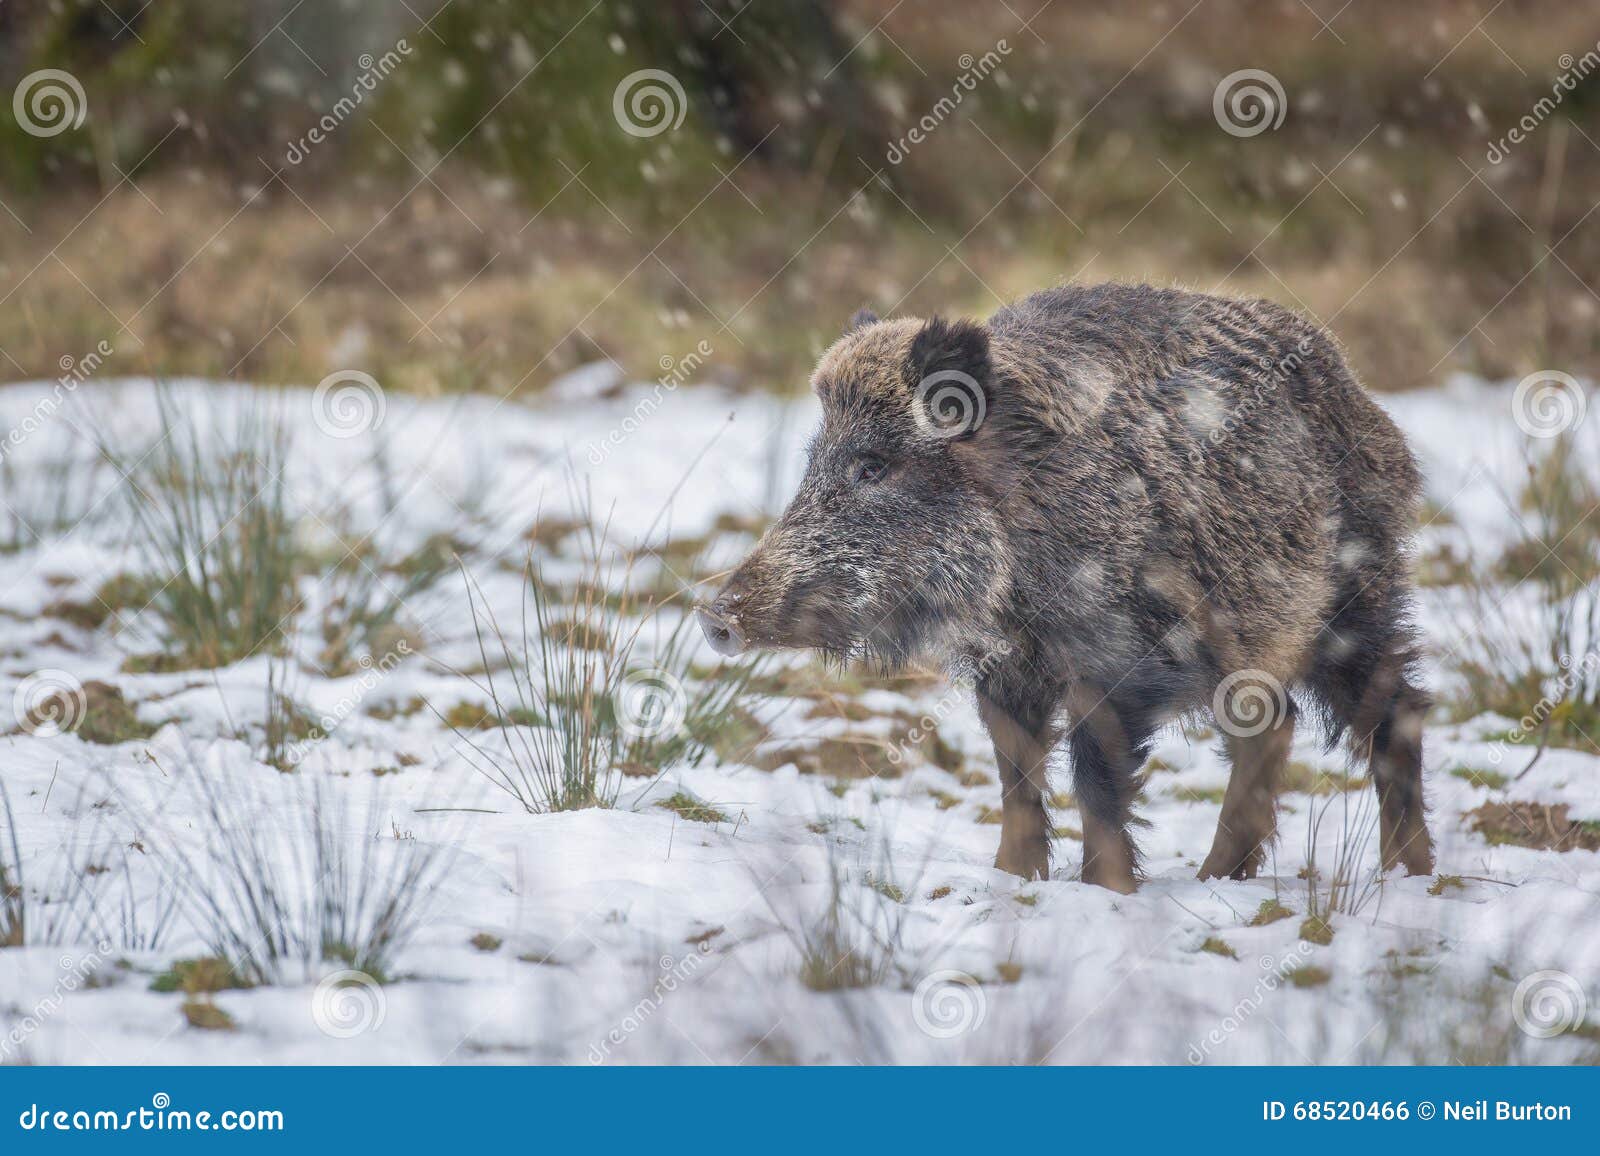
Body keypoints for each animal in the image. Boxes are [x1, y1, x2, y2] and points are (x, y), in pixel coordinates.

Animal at [698, 283, 1432, 891]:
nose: (714, 615)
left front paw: (1107, 892)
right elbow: (1015, 772)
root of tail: (1363, 399)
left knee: (1392, 710)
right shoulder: (1005, 668)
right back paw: (1218, 879)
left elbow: (1097, 779)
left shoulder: (1116, 659)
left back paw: (1409, 875)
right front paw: (1011, 881)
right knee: (1274, 726)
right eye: (814, 464)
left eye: (873, 467)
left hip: (1353, 598)